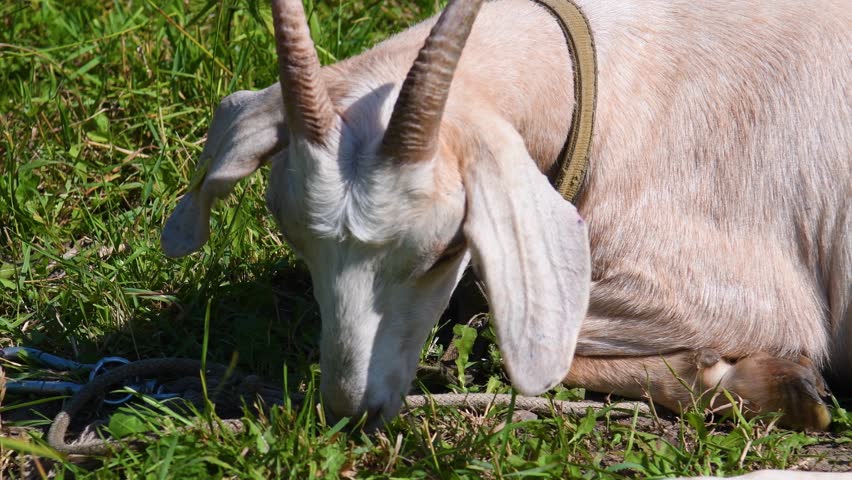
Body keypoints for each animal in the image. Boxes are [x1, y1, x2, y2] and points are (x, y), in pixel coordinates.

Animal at [161, 0, 851, 430]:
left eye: (444, 251)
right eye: (298, 239)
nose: (353, 408)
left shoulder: (738, 295)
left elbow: (502, 330)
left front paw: (782, 386)